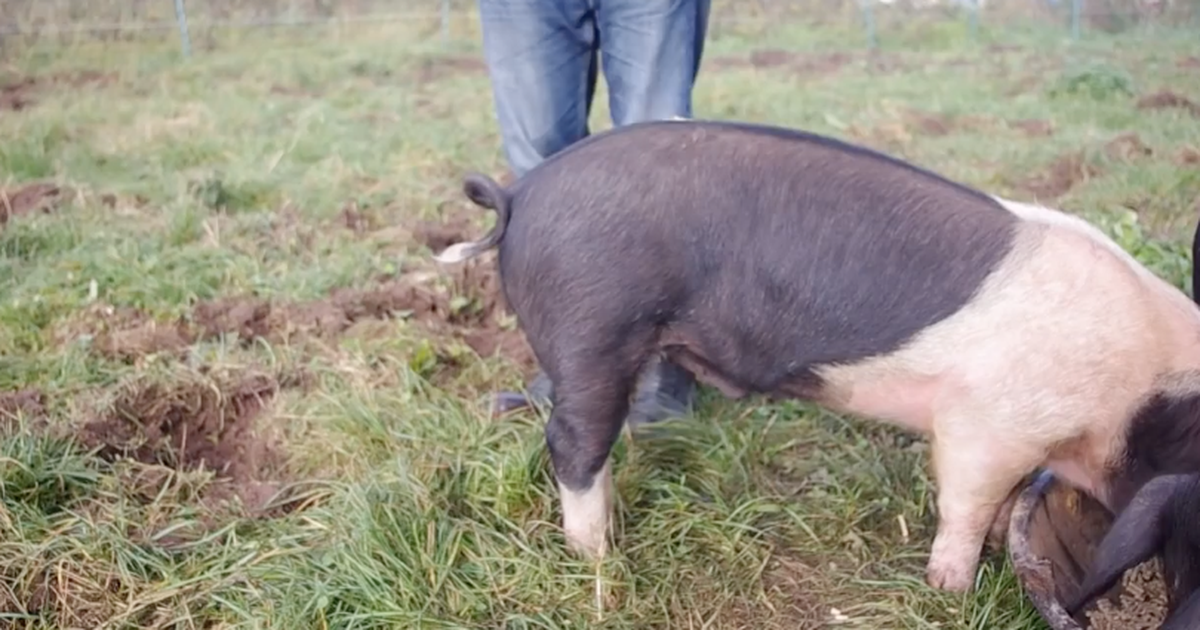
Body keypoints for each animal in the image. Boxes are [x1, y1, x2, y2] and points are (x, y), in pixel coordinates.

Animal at [433, 118, 1200, 593]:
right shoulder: (989, 422)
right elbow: (966, 503)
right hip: (592, 325)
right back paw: (601, 558)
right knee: (573, 442)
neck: (1129, 400)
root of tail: (520, 194)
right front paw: (950, 589)